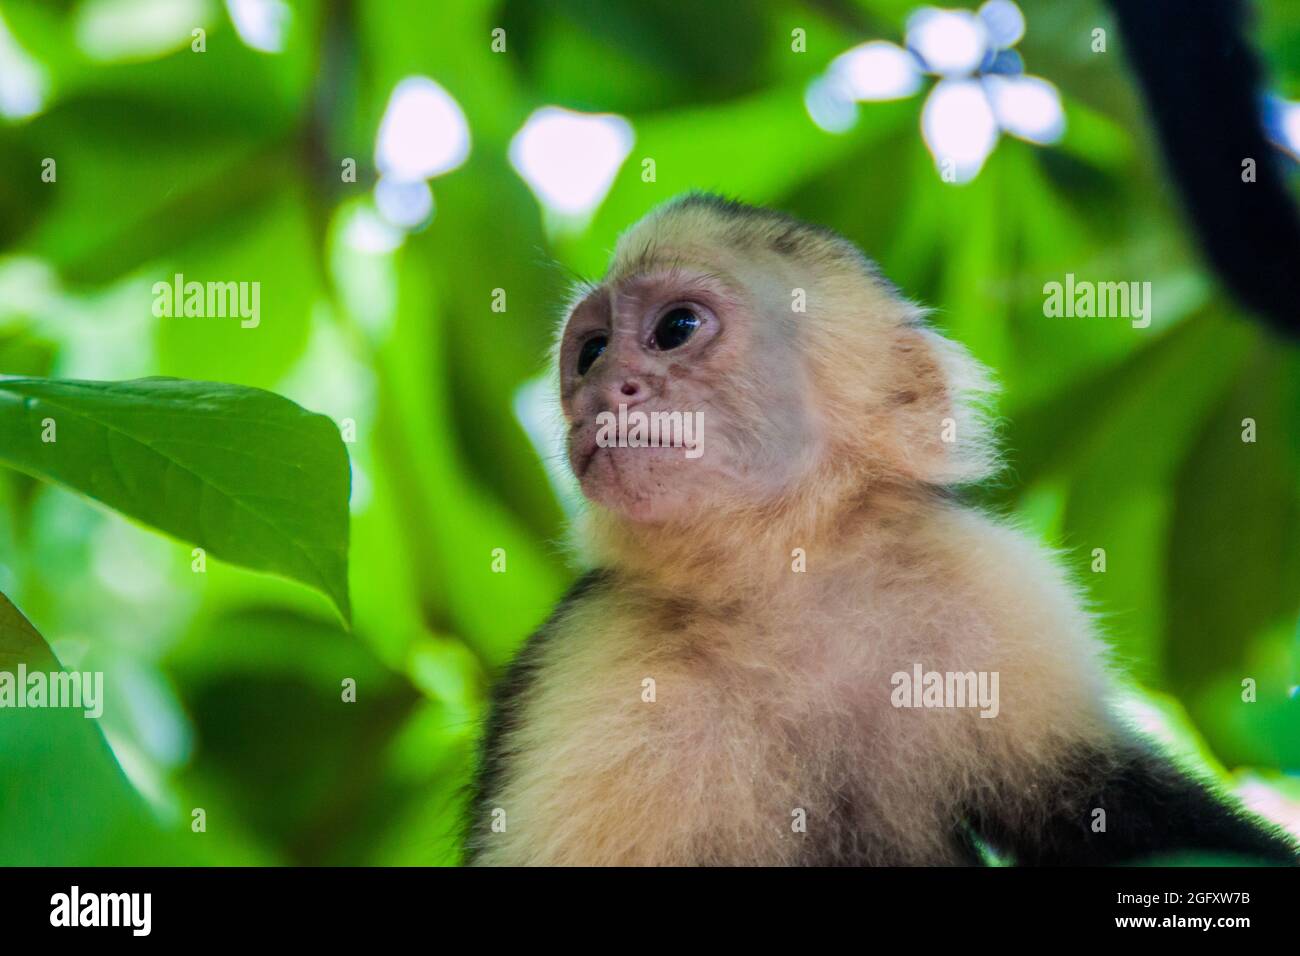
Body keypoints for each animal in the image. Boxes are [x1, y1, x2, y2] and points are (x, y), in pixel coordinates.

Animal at [465, 193, 1298, 866]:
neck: (778, 586)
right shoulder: (587, 664)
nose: (602, 390)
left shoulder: (991, 583)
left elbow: (1103, 803)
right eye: (591, 352)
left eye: (676, 328)